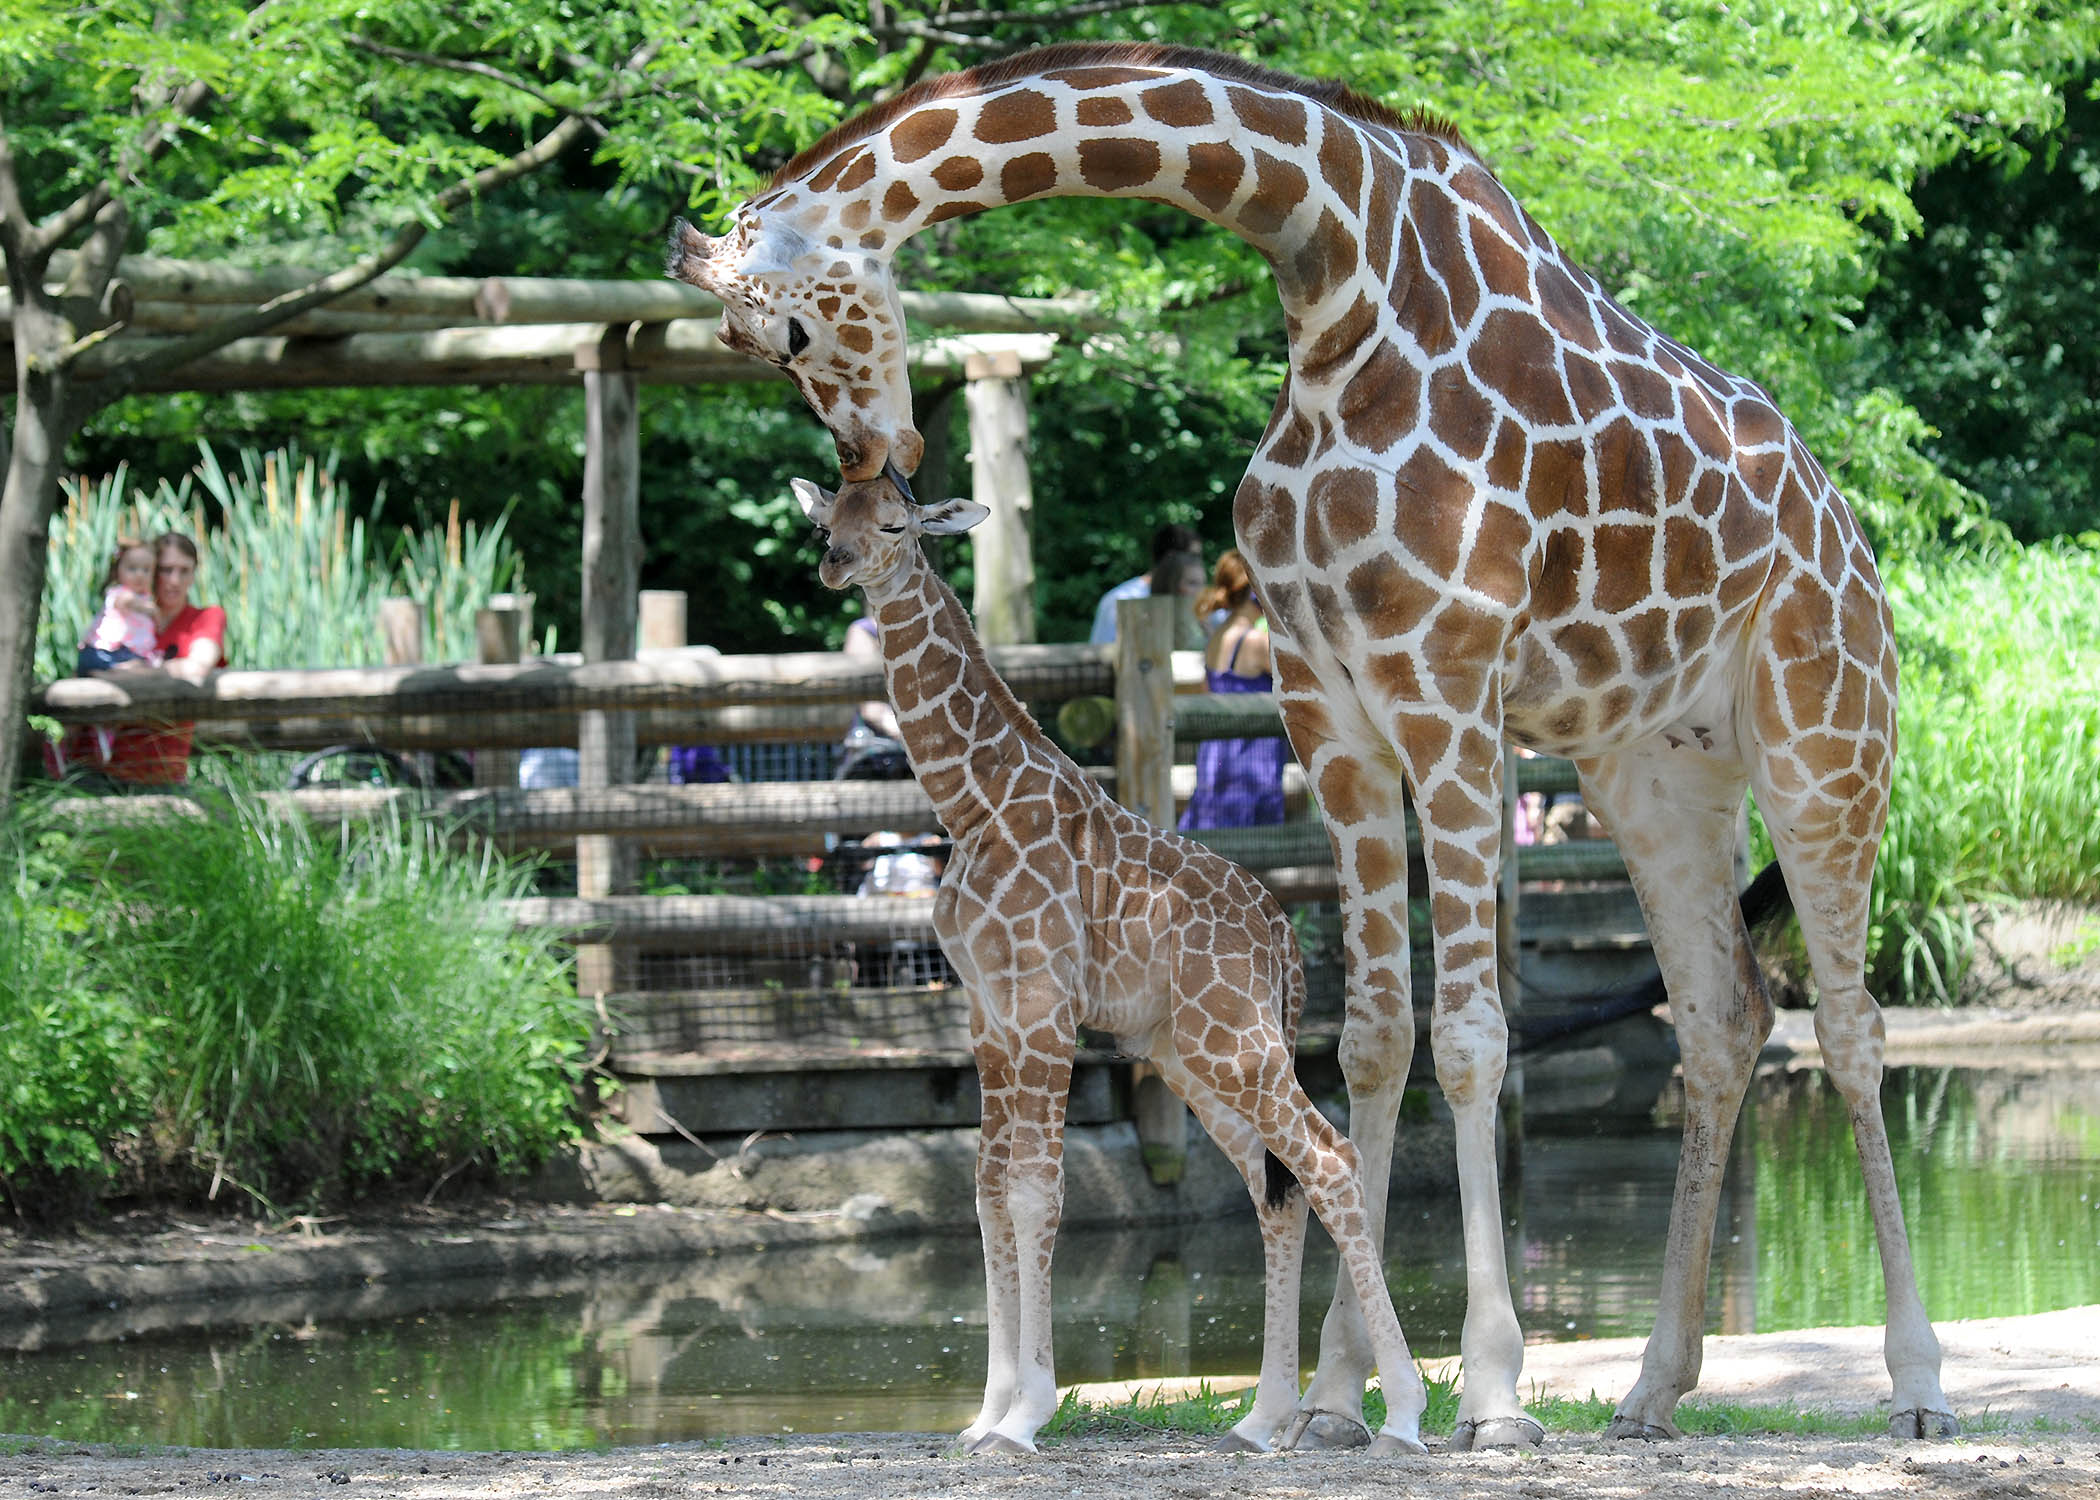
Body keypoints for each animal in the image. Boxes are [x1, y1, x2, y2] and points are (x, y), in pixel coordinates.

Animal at [789, 471, 1429, 1456]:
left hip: (1234, 1042)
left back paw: (1399, 1409)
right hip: (1189, 1053)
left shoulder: (1043, 1006)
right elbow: (986, 1193)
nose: (835, 564)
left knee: (1328, 1159)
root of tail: (1282, 938)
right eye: (828, 519)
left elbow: (1035, 1195)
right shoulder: (986, 1014)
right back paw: (1261, 1419)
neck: (970, 804)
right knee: (1271, 1186)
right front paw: (985, 1414)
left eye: (894, 524)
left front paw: (1027, 1415)